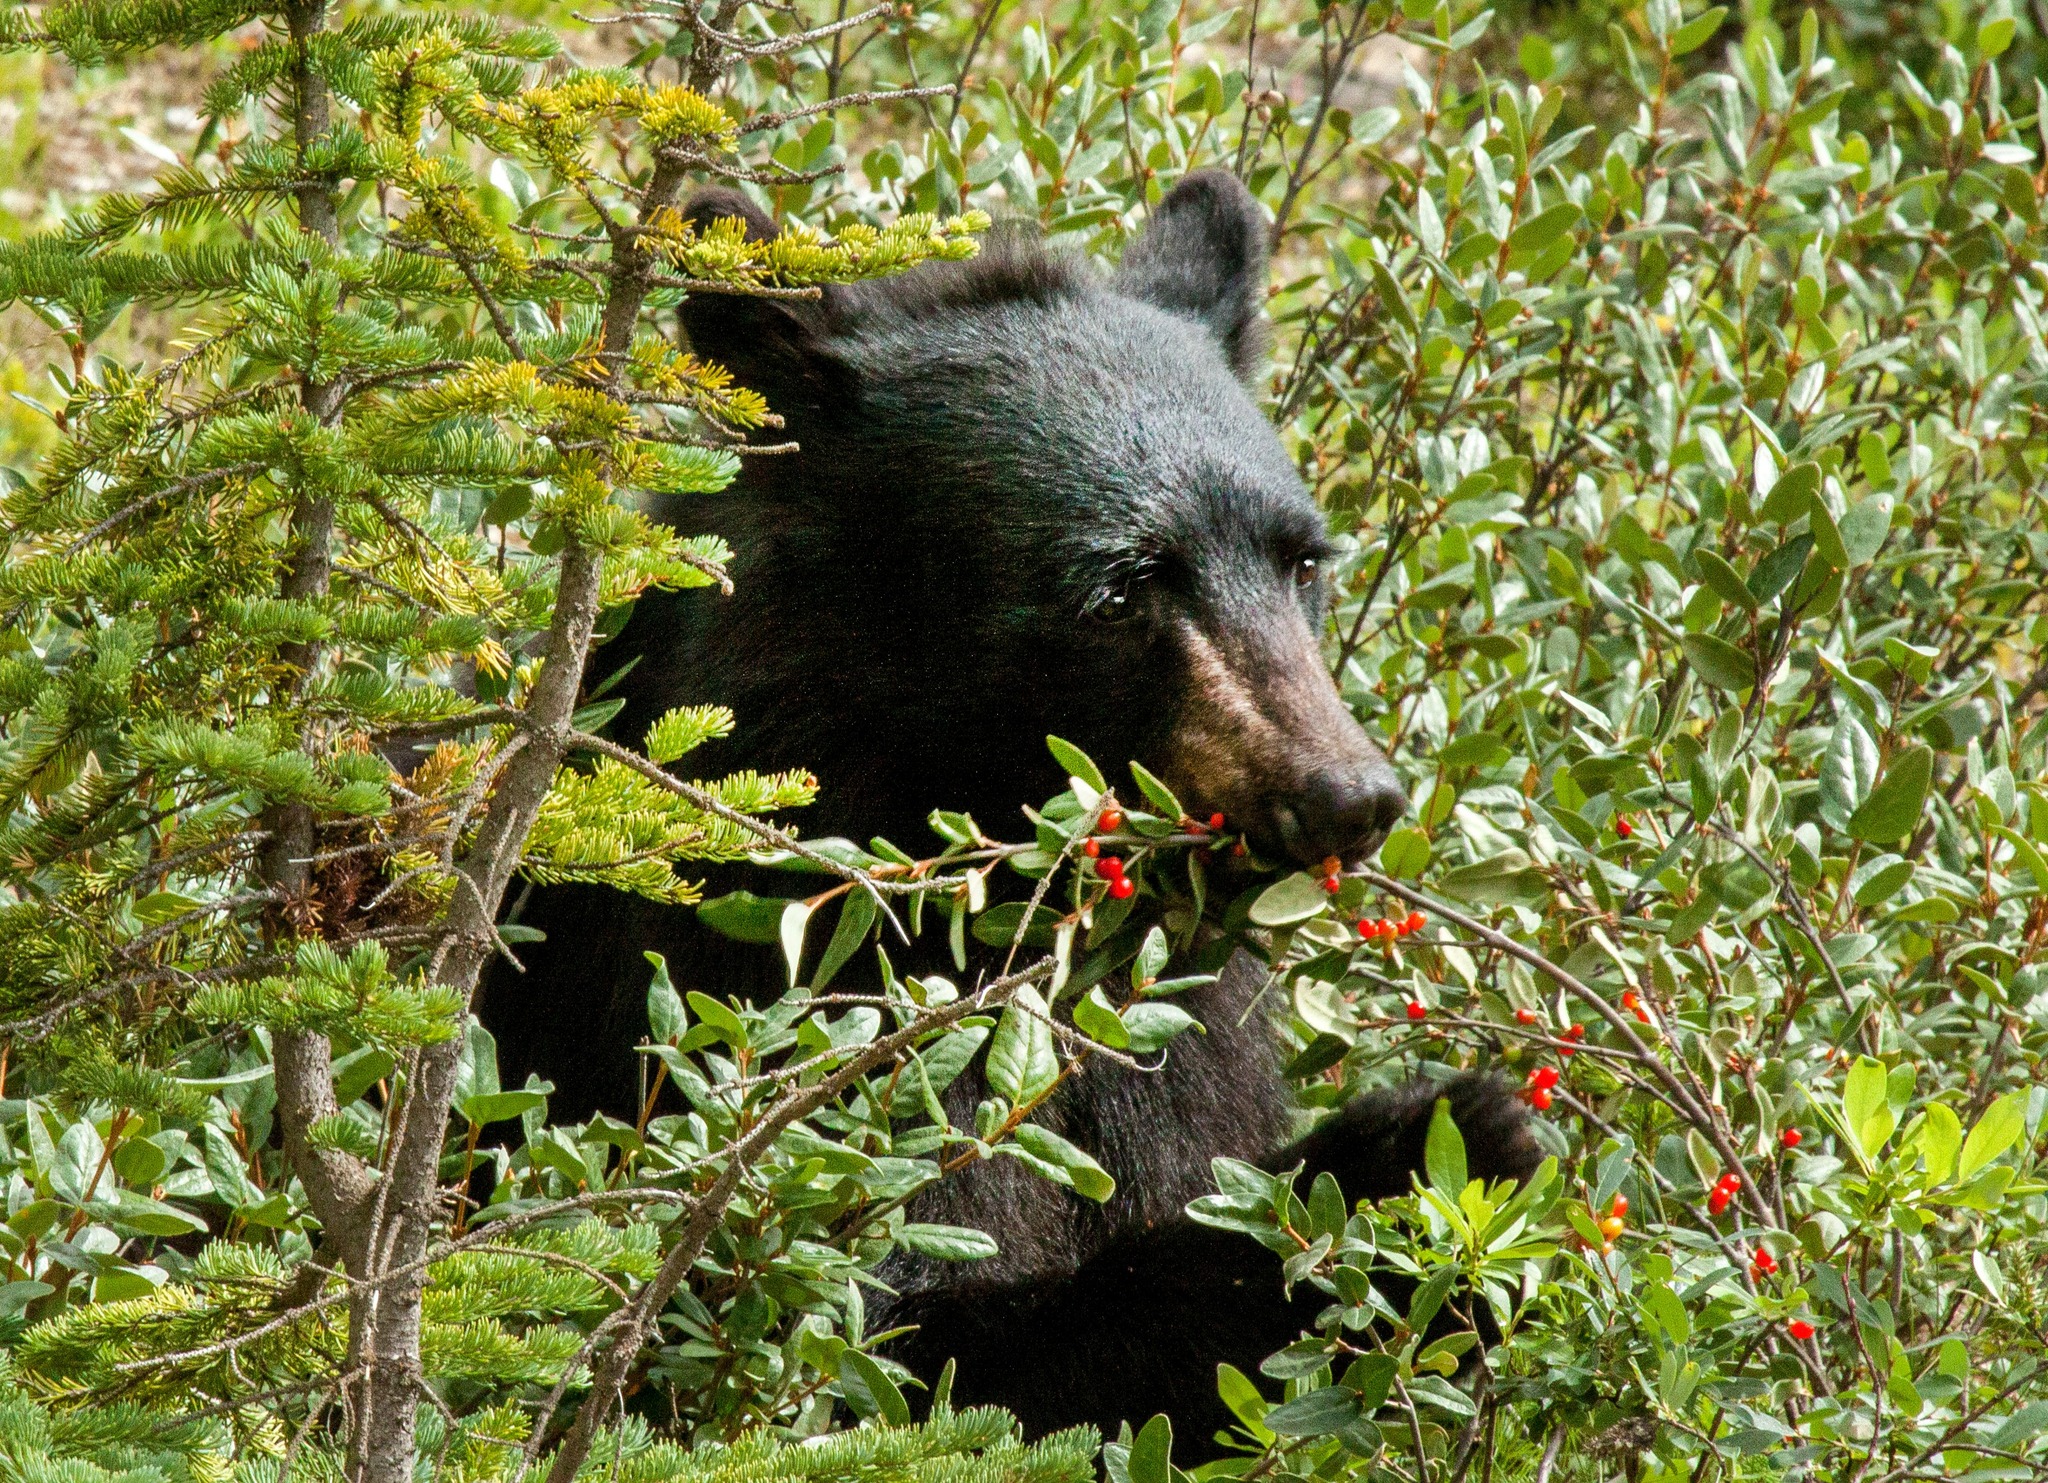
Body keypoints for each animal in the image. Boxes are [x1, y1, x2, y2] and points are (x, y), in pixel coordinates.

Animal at [482, 171, 1540, 1446]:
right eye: (1123, 586)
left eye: (1301, 562)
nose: (1346, 796)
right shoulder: (774, 1011)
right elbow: (898, 1348)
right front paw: (1414, 1159)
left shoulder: (1179, 1039)